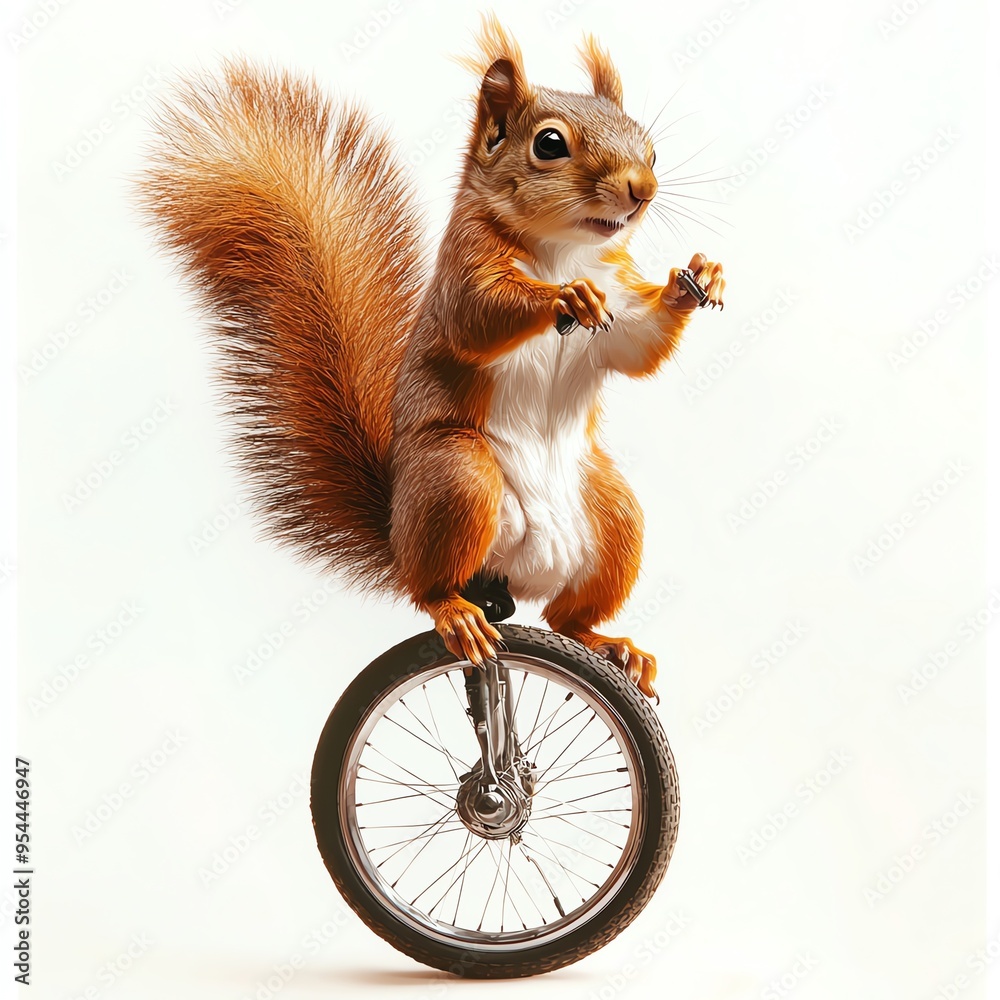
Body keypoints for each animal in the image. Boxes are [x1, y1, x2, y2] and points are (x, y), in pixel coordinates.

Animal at [139, 16, 724, 700]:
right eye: (549, 144)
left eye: (650, 149)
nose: (642, 189)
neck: (564, 249)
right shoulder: (464, 272)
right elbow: (480, 316)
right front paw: (567, 297)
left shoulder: (620, 294)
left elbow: (636, 343)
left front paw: (699, 278)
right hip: (457, 475)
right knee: (433, 587)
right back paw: (456, 613)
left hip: (612, 514)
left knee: (565, 617)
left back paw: (612, 645)